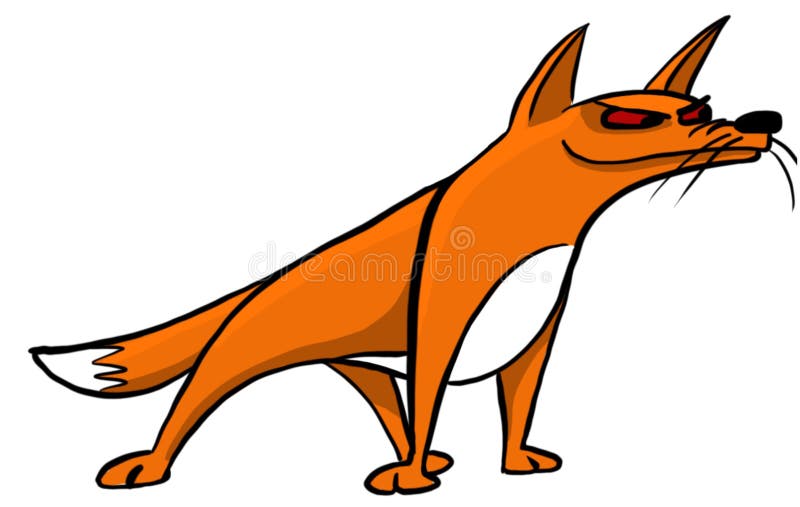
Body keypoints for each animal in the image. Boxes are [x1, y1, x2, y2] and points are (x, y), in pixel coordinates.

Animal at [30, 17, 795, 495]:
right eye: (630, 118)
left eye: (703, 107)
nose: (763, 122)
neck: (540, 218)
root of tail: (265, 283)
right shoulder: (440, 328)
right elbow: (432, 395)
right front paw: (418, 481)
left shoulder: (533, 339)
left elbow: (517, 405)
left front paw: (513, 463)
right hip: (243, 346)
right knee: (188, 404)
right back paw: (150, 466)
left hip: (360, 363)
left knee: (389, 409)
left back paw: (413, 460)